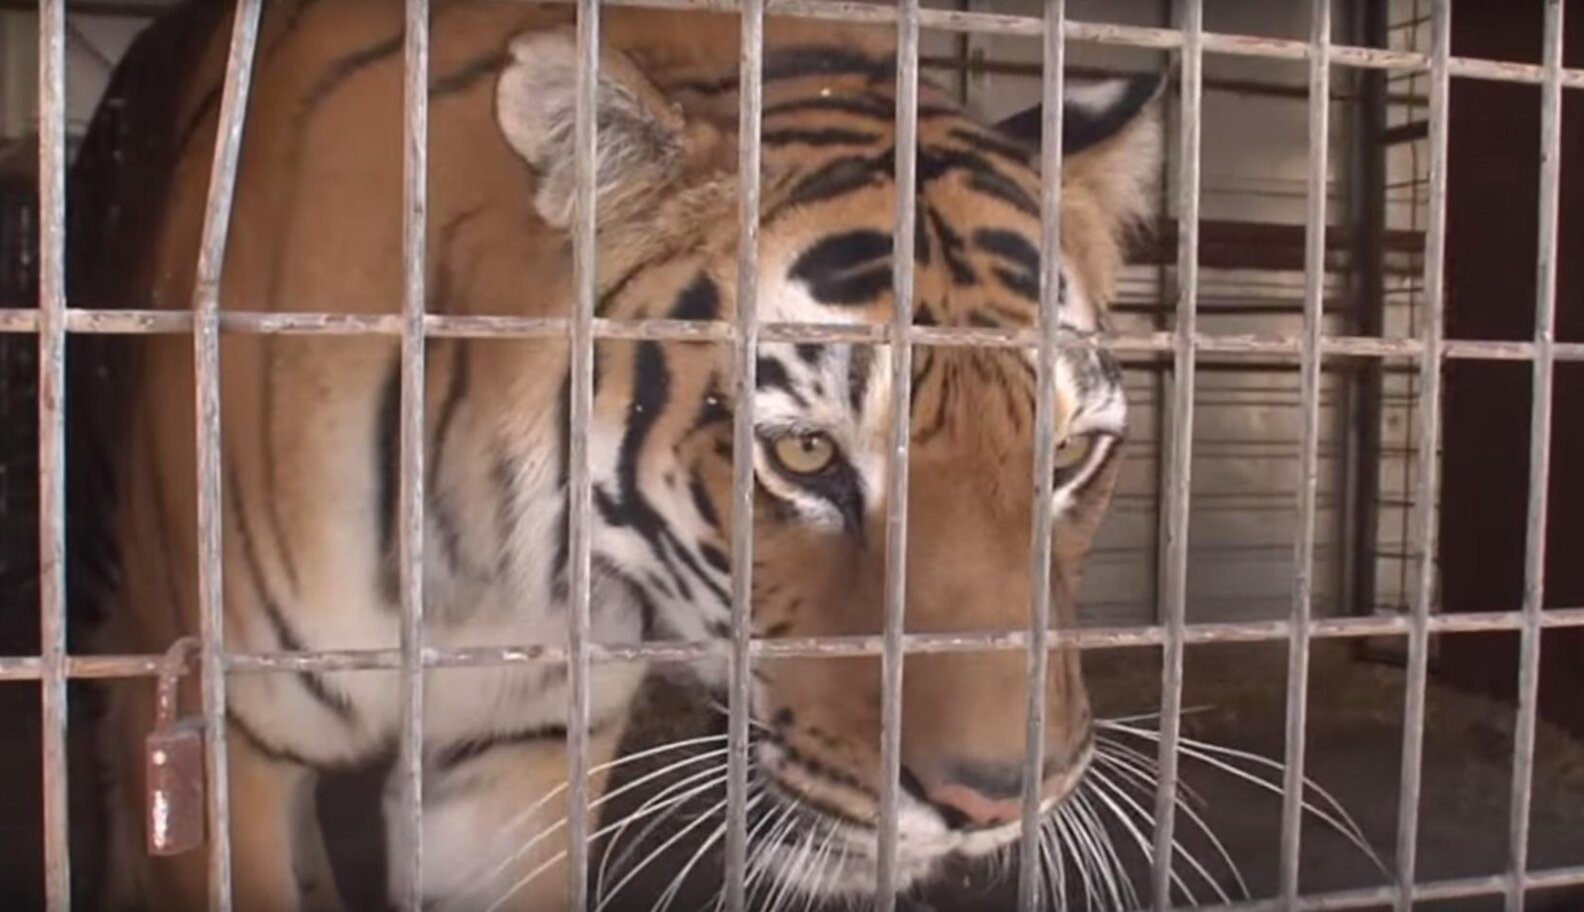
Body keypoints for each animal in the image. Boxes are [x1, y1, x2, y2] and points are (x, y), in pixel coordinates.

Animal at [65, 1, 1162, 909]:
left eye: (1068, 454)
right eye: (808, 454)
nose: (997, 802)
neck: (492, 570)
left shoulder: (521, 753)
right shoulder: (221, 745)